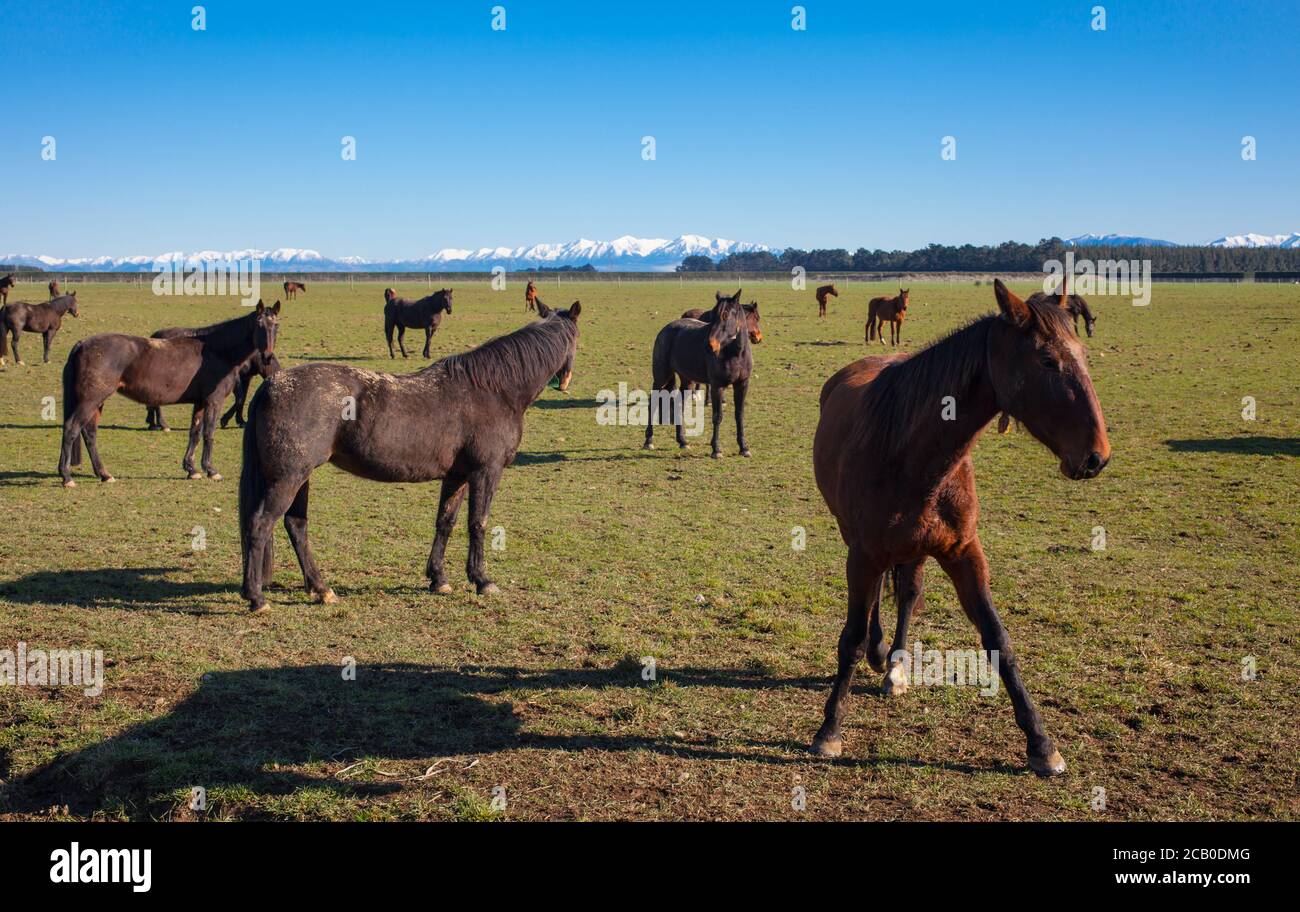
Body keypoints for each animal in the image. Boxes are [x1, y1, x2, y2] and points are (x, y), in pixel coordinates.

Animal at [59, 301, 280, 486]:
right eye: (259, 324)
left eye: (276, 326)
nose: (268, 356)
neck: (217, 351)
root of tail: (82, 344)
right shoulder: (213, 401)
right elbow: (209, 433)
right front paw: (210, 470)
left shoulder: (200, 403)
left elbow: (195, 433)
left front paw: (191, 469)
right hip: (91, 399)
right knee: (72, 428)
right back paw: (67, 476)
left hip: (97, 402)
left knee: (89, 433)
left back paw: (104, 474)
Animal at [238, 300, 582, 612]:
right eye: (576, 339)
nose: (565, 382)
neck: (493, 390)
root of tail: (271, 385)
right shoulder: (486, 471)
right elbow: (478, 523)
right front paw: (482, 580)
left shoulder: (457, 475)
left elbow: (445, 521)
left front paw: (439, 579)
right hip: (288, 478)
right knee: (261, 524)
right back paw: (257, 598)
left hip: (300, 477)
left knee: (296, 525)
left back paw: (321, 589)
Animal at [644, 290, 756, 457]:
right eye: (713, 315)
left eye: (726, 315)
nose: (709, 345)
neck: (735, 354)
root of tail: (666, 329)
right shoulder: (717, 386)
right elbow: (717, 416)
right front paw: (716, 449)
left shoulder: (742, 384)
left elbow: (739, 415)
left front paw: (744, 448)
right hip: (661, 377)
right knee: (653, 402)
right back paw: (649, 441)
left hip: (687, 380)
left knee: (679, 404)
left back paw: (683, 441)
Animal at [808, 280, 1110, 776]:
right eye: (1047, 360)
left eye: (1083, 353)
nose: (1096, 455)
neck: (912, 454)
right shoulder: (864, 554)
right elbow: (851, 638)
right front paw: (829, 729)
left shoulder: (964, 553)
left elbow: (998, 639)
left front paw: (1041, 742)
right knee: (878, 599)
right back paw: (879, 654)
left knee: (908, 593)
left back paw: (894, 666)